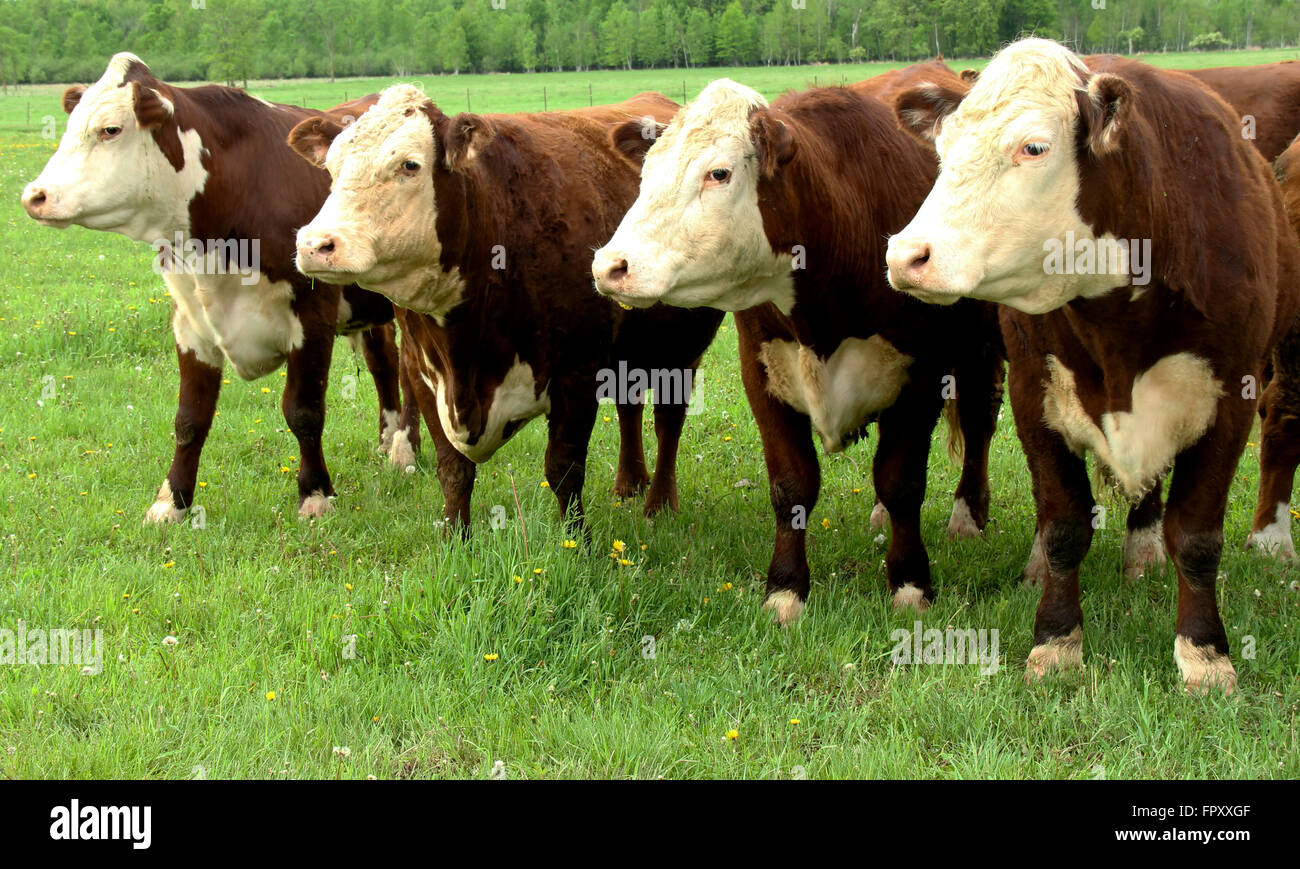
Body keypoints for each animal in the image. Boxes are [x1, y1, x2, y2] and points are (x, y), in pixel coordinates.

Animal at [20, 54, 415, 522]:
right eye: (69, 125)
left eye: (110, 129)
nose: (35, 195)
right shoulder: (189, 322)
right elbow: (190, 417)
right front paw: (172, 501)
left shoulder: (313, 314)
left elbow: (304, 411)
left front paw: (315, 495)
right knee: (384, 362)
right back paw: (389, 440)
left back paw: (405, 448)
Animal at [287, 85, 722, 534]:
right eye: (332, 167)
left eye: (410, 164)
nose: (315, 244)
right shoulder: (423, 373)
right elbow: (453, 469)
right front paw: (456, 538)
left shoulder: (578, 372)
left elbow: (564, 469)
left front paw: (577, 540)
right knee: (629, 405)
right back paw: (629, 483)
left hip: (683, 346)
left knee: (668, 421)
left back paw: (659, 504)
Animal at [590, 78, 1006, 623]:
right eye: (646, 171)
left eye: (719, 173)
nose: (610, 265)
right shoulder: (762, 371)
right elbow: (792, 484)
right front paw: (786, 589)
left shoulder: (923, 374)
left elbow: (903, 482)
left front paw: (911, 583)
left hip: (982, 350)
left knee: (978, 425)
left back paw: (967, 515)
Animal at [885, 38, 1300, 692]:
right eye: (943, 148)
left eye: (1034, 147)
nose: (906, 255)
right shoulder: (1036, 391)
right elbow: (1063, 524)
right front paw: (1056, 642)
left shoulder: (1233, 398)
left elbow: (1198, 536)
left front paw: (1205, 655)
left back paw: (1148, 550)